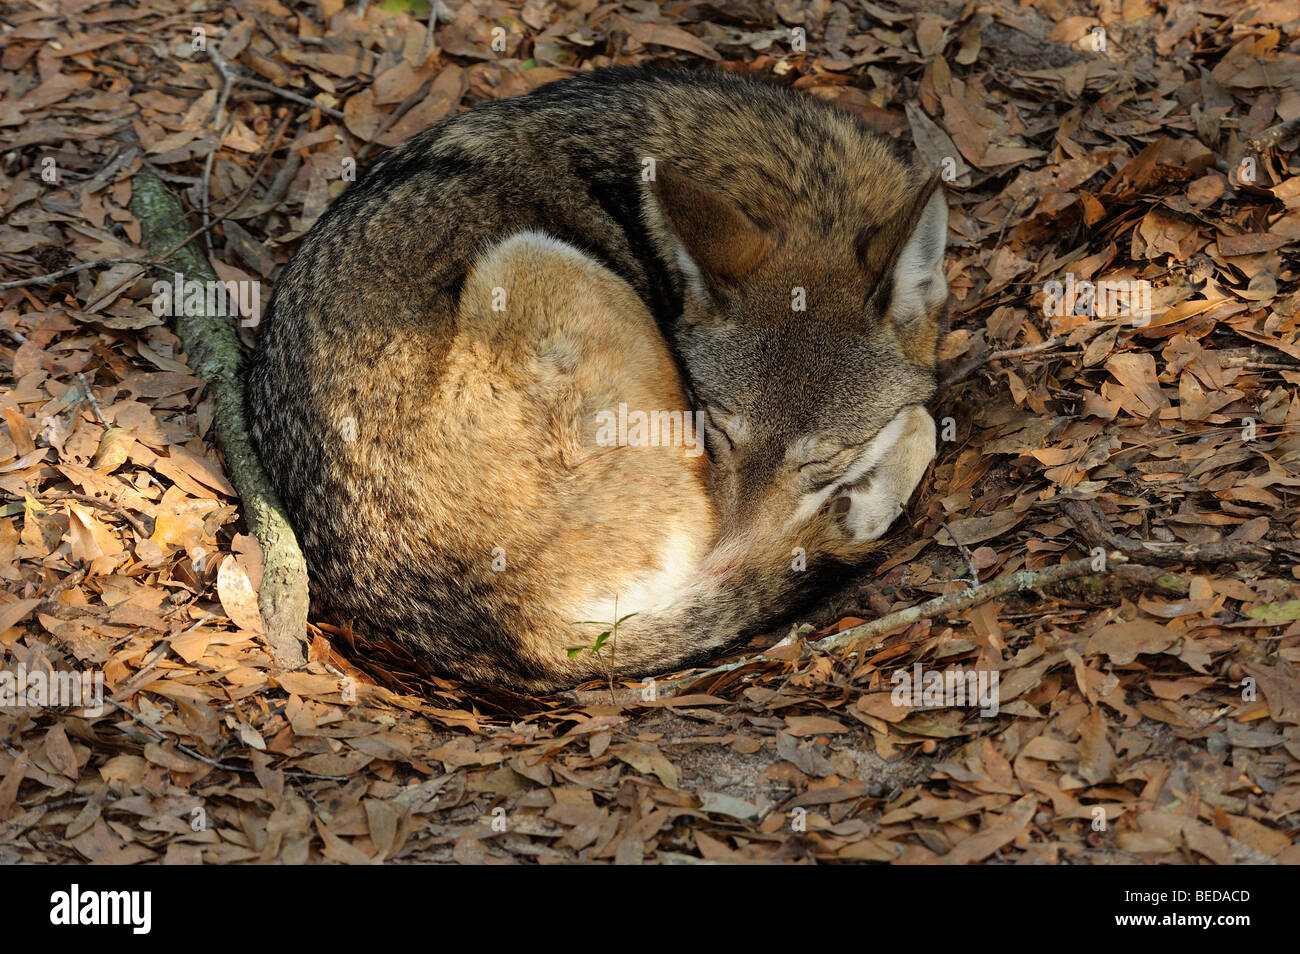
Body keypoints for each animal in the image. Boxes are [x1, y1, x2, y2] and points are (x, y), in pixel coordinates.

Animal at [245, 67, 949, 691]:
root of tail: (524, 633)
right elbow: (918, 419)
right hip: (531, 259)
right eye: (721, 434)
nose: (732, 549)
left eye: (822, 458)